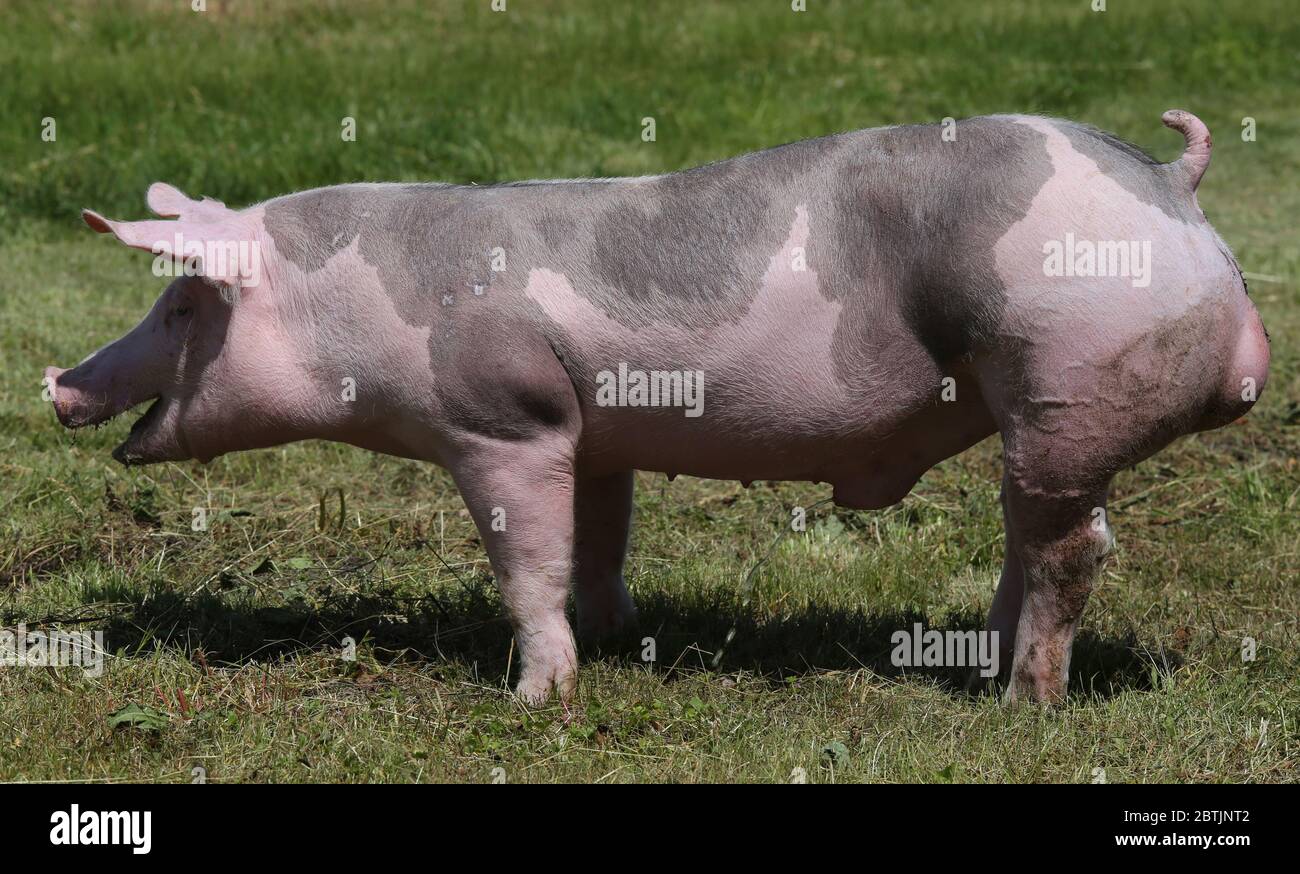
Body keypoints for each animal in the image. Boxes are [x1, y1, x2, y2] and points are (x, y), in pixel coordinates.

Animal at [46, 110, 1269, 704]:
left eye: (181, 304)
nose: (56, 382)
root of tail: (1171, 188)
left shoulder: (502, 420)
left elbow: (525, 562)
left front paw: (535, 700)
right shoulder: (591, 431)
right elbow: (599, 536)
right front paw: (616, 635)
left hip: (1067, 382)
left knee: (1075, 547)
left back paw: (1024, 703)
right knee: (1031, 538)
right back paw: (979, 661)